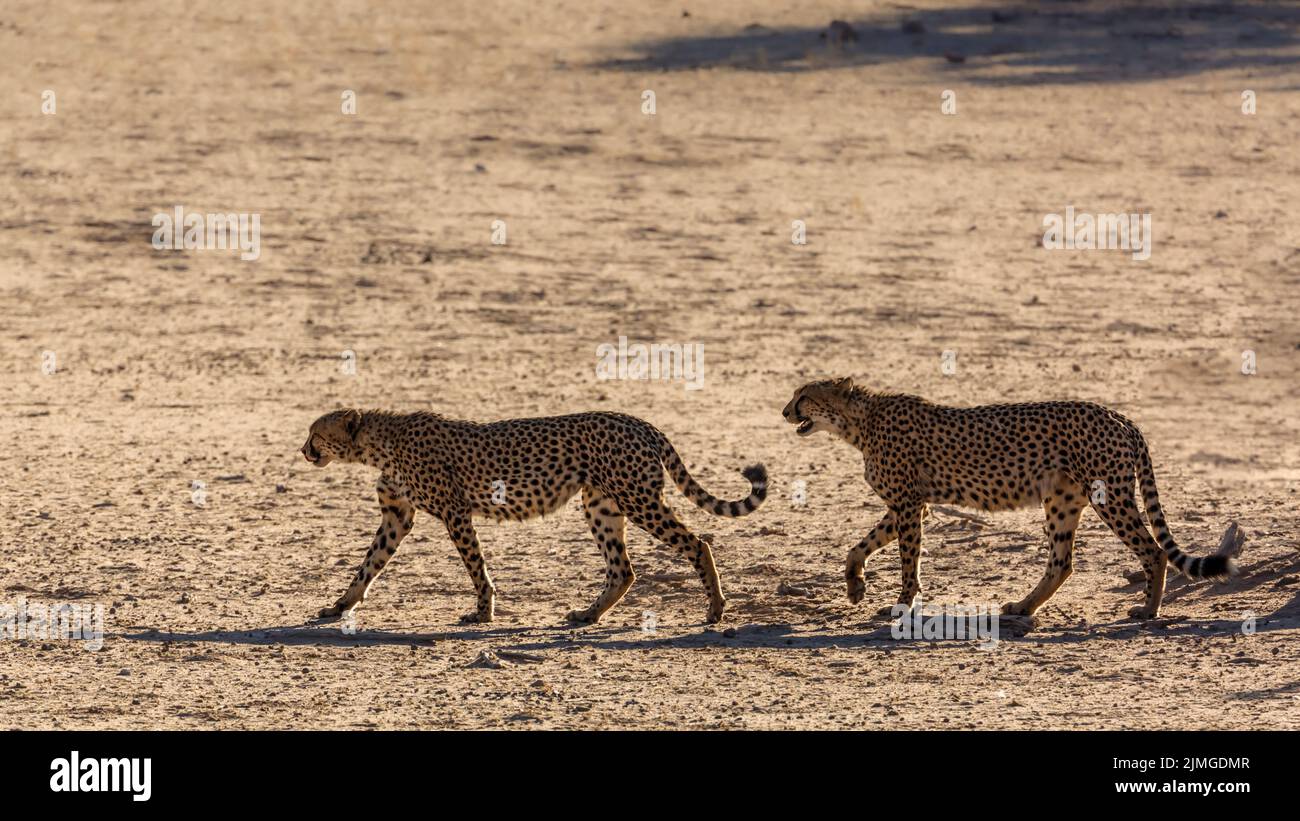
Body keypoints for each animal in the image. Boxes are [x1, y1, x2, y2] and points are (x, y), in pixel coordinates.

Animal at [300, 408, 767, 626]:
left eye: (315, 433)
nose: (303, 450)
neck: (379, 444)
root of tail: (638, 421)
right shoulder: (397, 516)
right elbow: (368, 565)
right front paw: (340, 605)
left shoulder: (455, 512)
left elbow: (476, 567)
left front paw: (483, 612)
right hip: (601, 504)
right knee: (623, 569)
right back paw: (588, 615)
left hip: (637, 500)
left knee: (697, 543)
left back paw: (715, 609)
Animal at [782, 378, 1236, 621]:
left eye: (804, 395)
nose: (785, 411)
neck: (860, 422)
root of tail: (1118, 415)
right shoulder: (910, 503)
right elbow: (859, 546)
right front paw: (855, 586)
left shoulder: (909, 504)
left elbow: (908, 558)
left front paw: (902, 603)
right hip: (1062, 500)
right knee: (1062, 562)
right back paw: (1023, 606)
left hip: (1109, 496)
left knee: (1153, 550)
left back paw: (1148, 611)